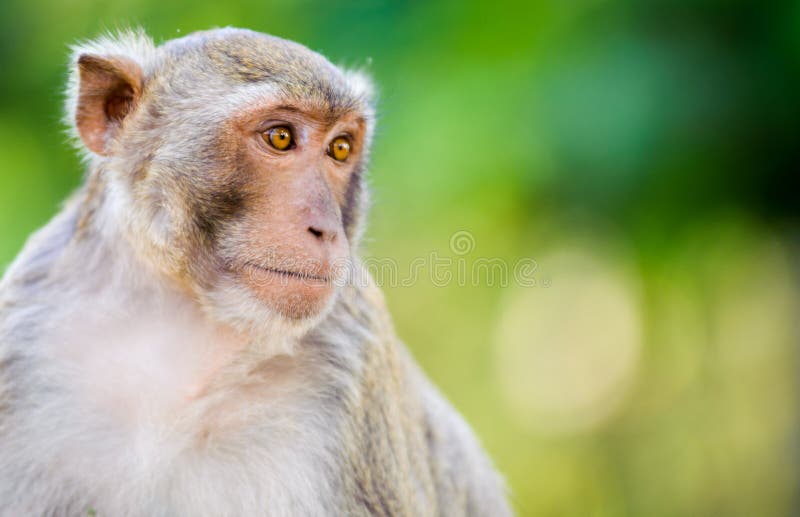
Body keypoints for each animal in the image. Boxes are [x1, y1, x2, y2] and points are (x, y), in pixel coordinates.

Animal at [0, 28, 511, 516]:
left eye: (340, 148)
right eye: (280, 137)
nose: (326, 229)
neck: (186, 331)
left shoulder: (350, 359)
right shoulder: (25, 338)